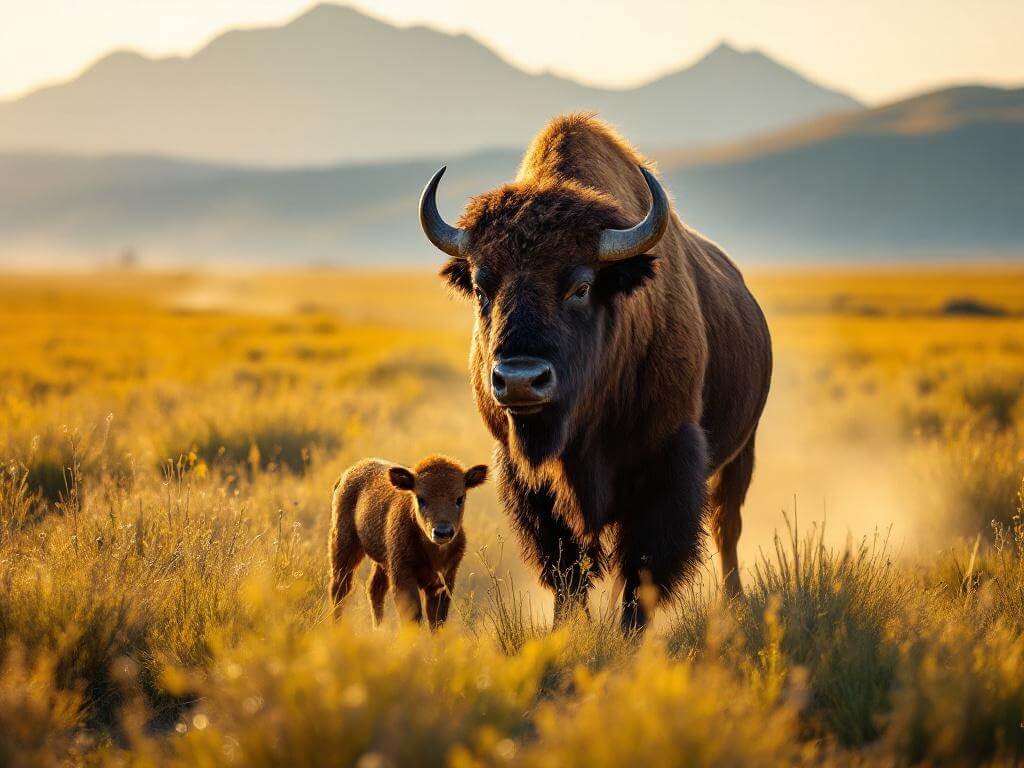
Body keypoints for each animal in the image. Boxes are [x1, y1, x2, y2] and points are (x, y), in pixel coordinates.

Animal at [419, 114, 772, 632]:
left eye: (581, 287)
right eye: (482, 288)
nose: (520, 380)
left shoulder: (665, 464)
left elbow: (643, 570)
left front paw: (629, 636)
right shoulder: (530, 481)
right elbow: (566, 567)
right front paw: (567, 630)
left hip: (742, 450)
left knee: (728, 528)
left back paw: (735, 602)